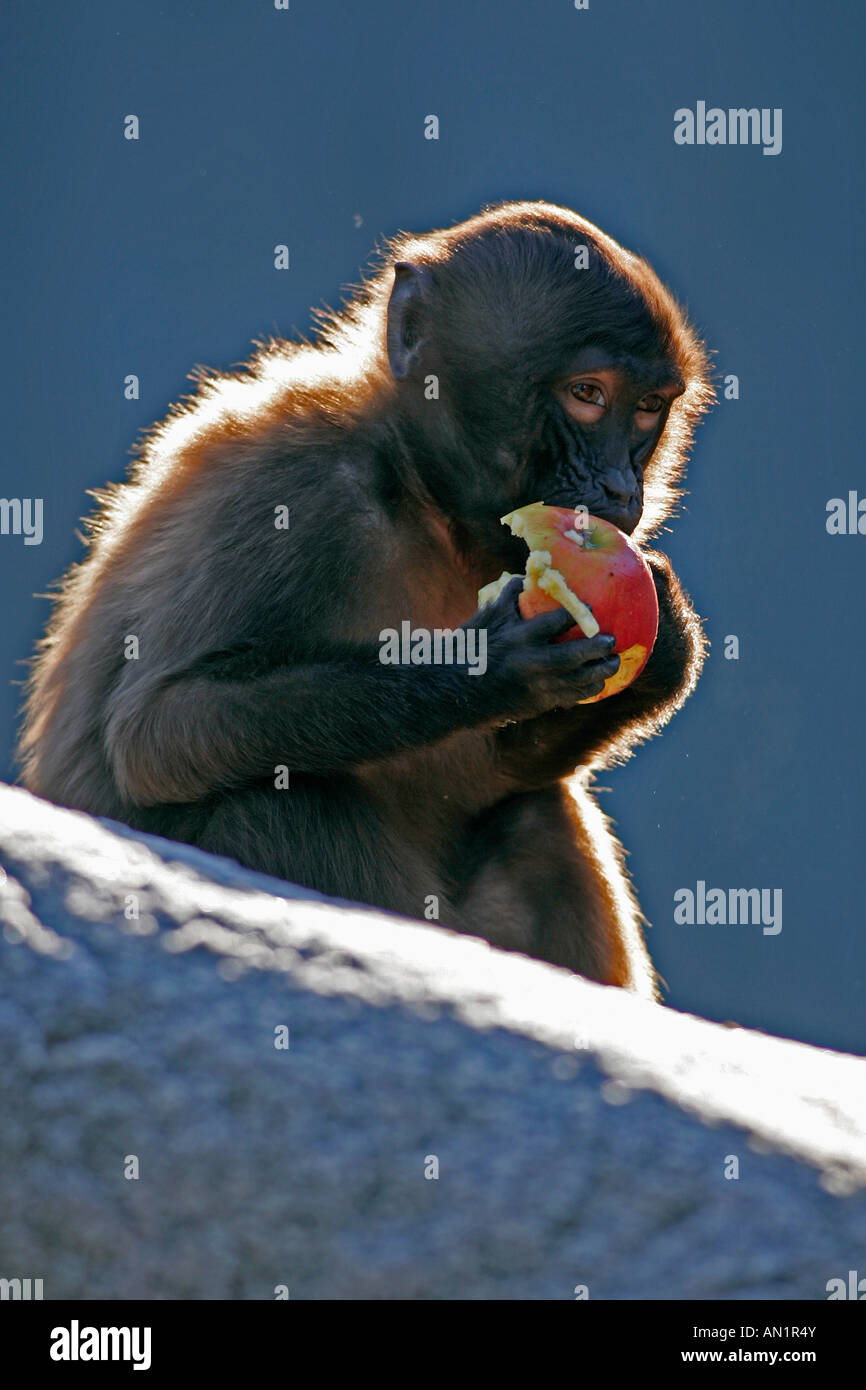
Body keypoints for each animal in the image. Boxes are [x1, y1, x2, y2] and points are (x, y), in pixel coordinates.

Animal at [16, 201, 717, 995]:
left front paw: (666, 651)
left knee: (533, 819)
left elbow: (500, 771)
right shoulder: (294, 484)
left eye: (648, 410)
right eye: (588, 395)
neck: (417, 488)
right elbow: (154, 731)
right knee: (271, 802)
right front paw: (481, 667)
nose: (620, 488)